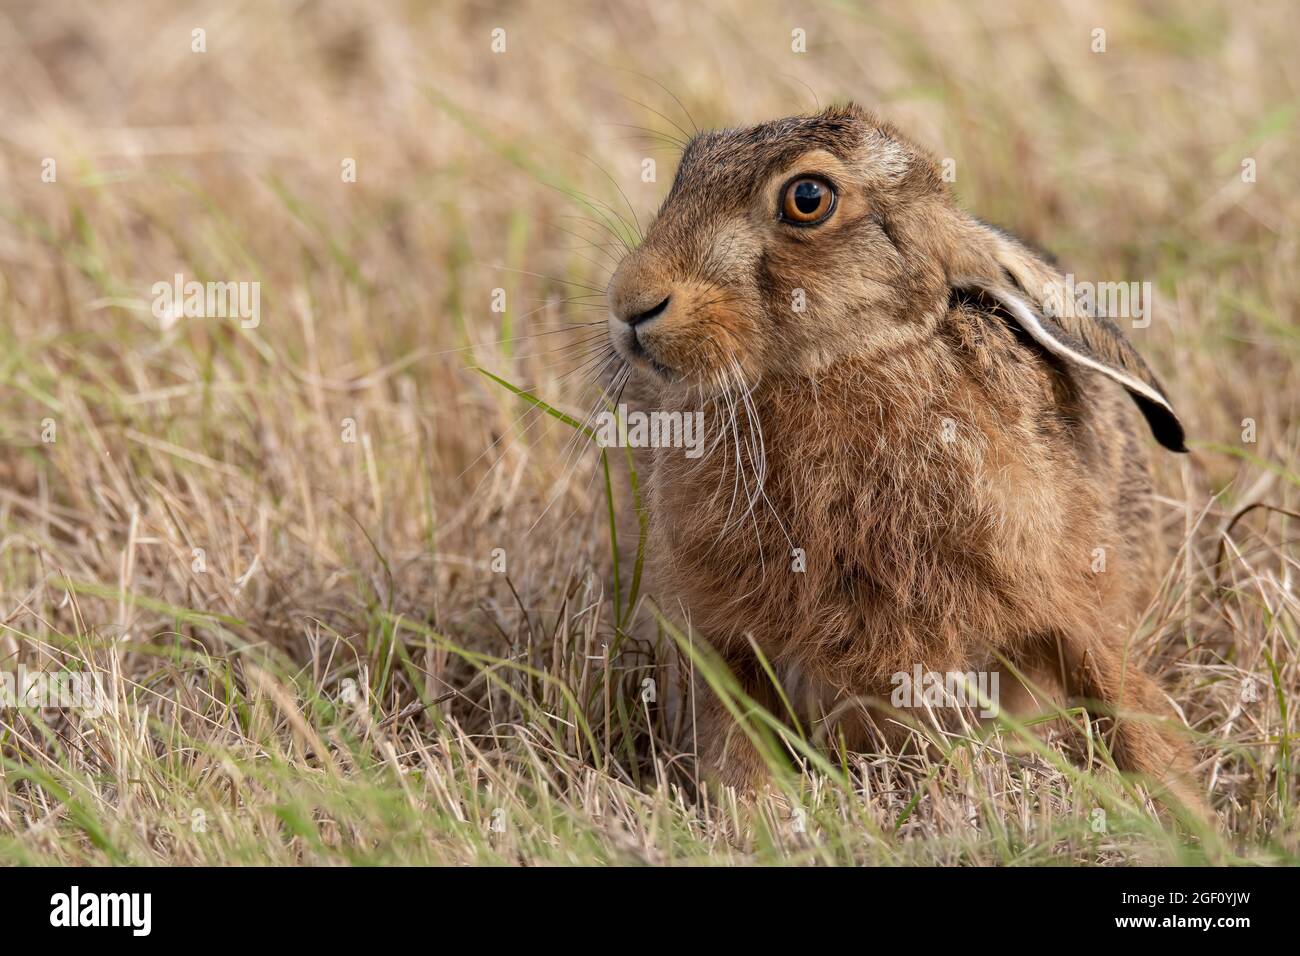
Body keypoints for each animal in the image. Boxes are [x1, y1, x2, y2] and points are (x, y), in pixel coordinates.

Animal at [600, 103, 1204, 818]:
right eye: (687, 166)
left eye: (808, 199)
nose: (631, 303)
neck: (849, 362)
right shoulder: (724, 639)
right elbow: (738, 745)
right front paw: (761, 819)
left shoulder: (1069, 600)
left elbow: (1123, 703)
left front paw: (1188, 815)